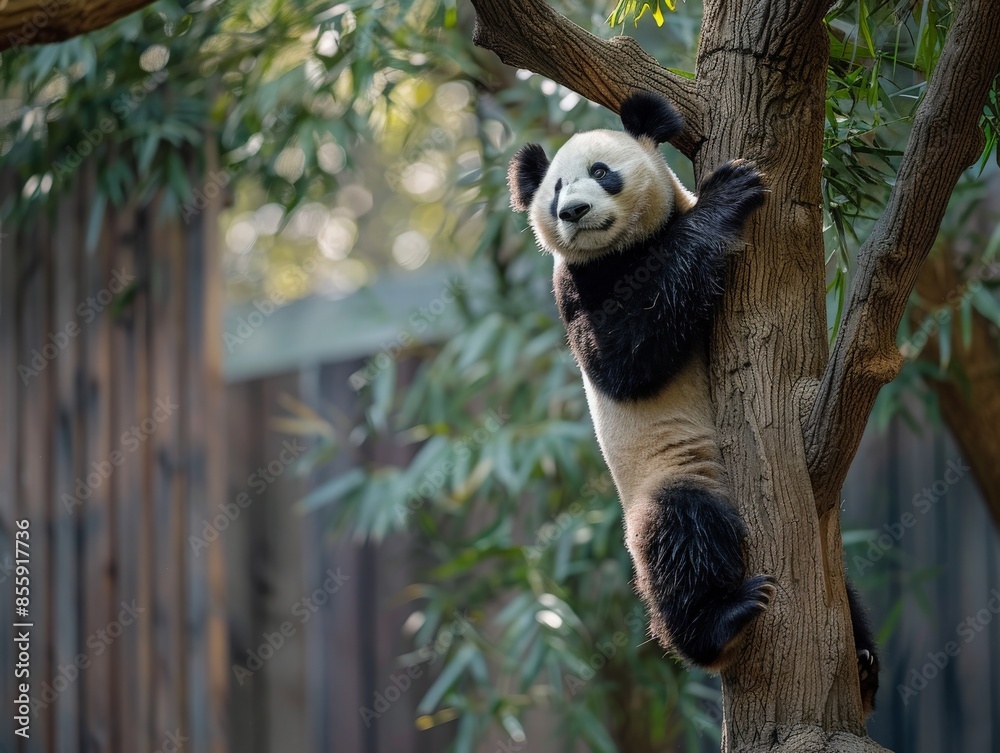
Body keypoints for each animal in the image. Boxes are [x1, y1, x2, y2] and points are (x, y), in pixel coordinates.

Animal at [508, 91, 879, 712]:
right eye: (555, 188)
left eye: (601, 173)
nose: (573, 212)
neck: (625, 249)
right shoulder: (575, 286)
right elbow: (623, 359)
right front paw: (726, 197)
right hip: (672, 473)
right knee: (681, 531)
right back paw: (720, 622)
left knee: (844, 590)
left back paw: (865, 660)